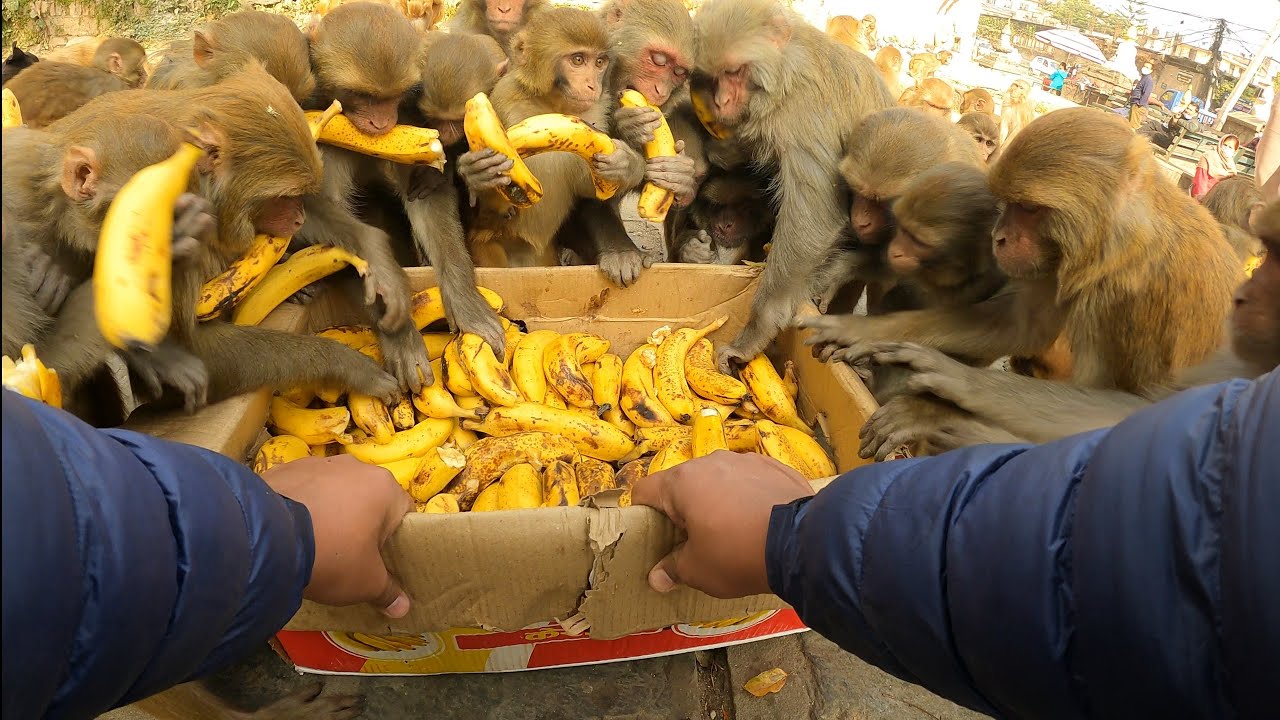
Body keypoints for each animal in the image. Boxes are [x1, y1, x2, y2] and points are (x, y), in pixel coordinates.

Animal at [457, 8, 646, 281]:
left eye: (599, 63)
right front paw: (479, 172)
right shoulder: (502, 100)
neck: (550, 106)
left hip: (544, 259)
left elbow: (588, 189)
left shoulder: (596, 113)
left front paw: (626, 164)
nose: (593, 85)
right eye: (578, 60)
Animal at [690, 0, 895, 369]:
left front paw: (757, 329)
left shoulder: (804, 112)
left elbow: (813, 219)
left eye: (735, 71)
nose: (722, 102)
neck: (784, 72)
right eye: (715, 77)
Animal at [799, 108, 1242, 454]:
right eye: (1010, 206)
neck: (1122, 245)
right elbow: (1017, 325)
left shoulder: (1131, 298)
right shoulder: (1056, 262)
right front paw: (862, 328)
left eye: (1028, 209)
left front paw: (932, 405)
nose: (1000, 236)